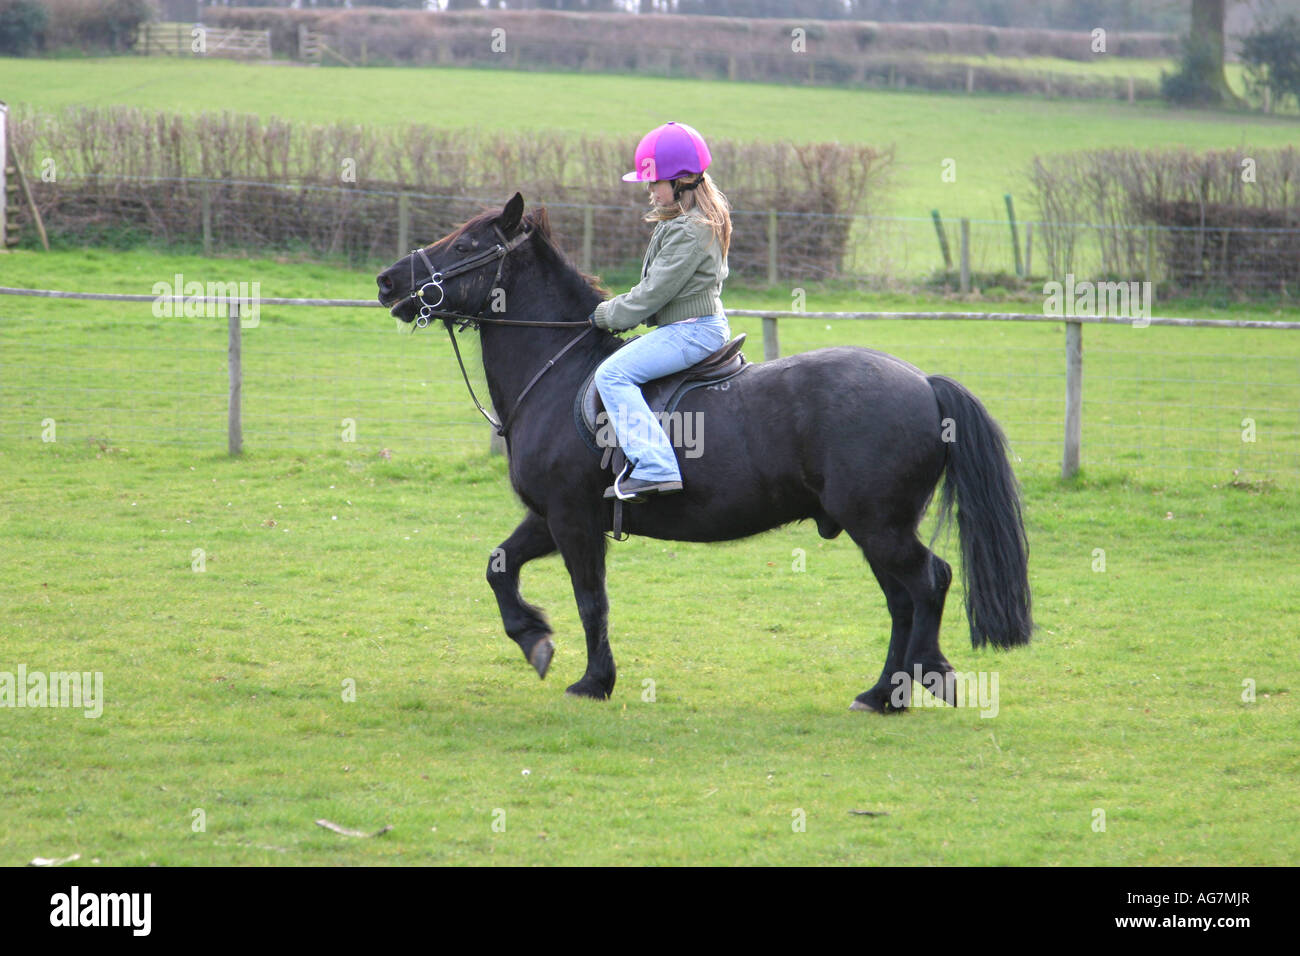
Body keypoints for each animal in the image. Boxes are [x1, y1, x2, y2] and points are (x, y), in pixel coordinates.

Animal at [376, 193, 1032, 713]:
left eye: (466, 244)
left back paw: (916, 680)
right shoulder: (550, 517)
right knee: (903, 599)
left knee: (927, 583)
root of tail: (924, 383)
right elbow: (499, 566)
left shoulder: (572, 517)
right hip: (874, 528)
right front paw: (534, 638)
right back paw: (882, 693)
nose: (387, 281)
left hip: (879, 525)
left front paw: (594, 682)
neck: (558, 373)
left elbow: (592, 600)